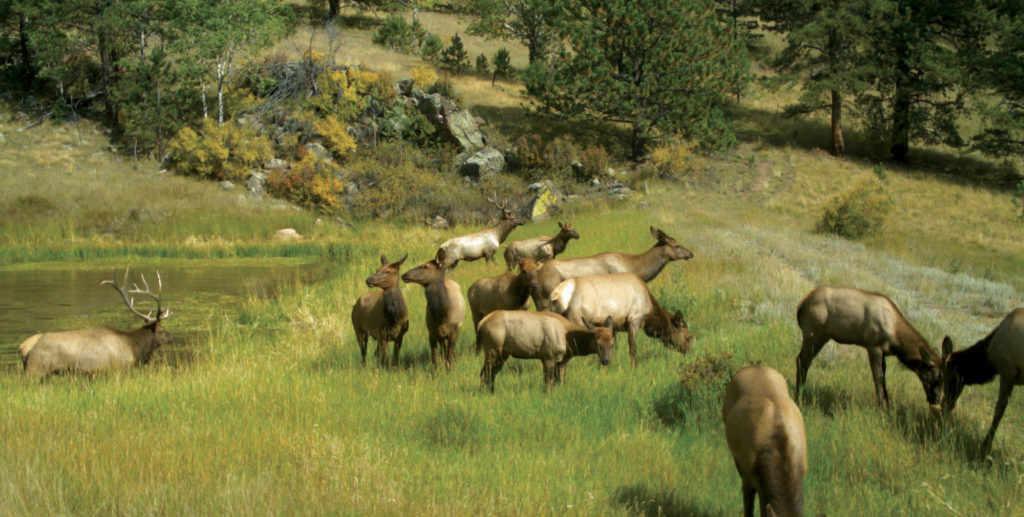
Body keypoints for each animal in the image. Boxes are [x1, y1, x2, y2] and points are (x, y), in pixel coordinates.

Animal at [18, 268, 172, 379]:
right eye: (161, 329)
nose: (171, 336)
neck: (135, 348)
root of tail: (23, 347)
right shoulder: (118, 369)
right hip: (35, 370)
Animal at [476, 310, 615, 392]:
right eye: (598, 344)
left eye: (612, 344)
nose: (606, 361)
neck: (569, 341)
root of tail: (481, 324)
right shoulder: (548, 357)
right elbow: (549, 383)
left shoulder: (562, 361)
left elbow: (560, 381)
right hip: (492, 348)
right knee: (484, 372)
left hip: (503, 353)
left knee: (492, 373)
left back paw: (491, 392)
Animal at [549, 272, 691, 368]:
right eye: (688, 337)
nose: (688, 352)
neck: (650, 313)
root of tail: (557, 294)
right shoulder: (634, 319)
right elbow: (633, 349)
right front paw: (634, 367)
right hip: (576, 318)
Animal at [795, 286, 943, 413]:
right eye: (934, 377)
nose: (936, 401)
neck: (895, 334)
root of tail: (800, 307)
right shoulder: (874, 346)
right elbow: (878, 378)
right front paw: (881, 408)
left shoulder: (883, 352)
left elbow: (884, 380)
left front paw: (888, 407)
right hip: (813, 334)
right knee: (803, 361)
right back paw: (800, 395)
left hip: (821, 337)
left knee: (800, 359)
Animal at [941, 308, 1024, 457]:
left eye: (945, 377)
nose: (944, 406)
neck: (989, 355)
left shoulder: (1008, 371)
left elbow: (998, 412)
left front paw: (985, 447)